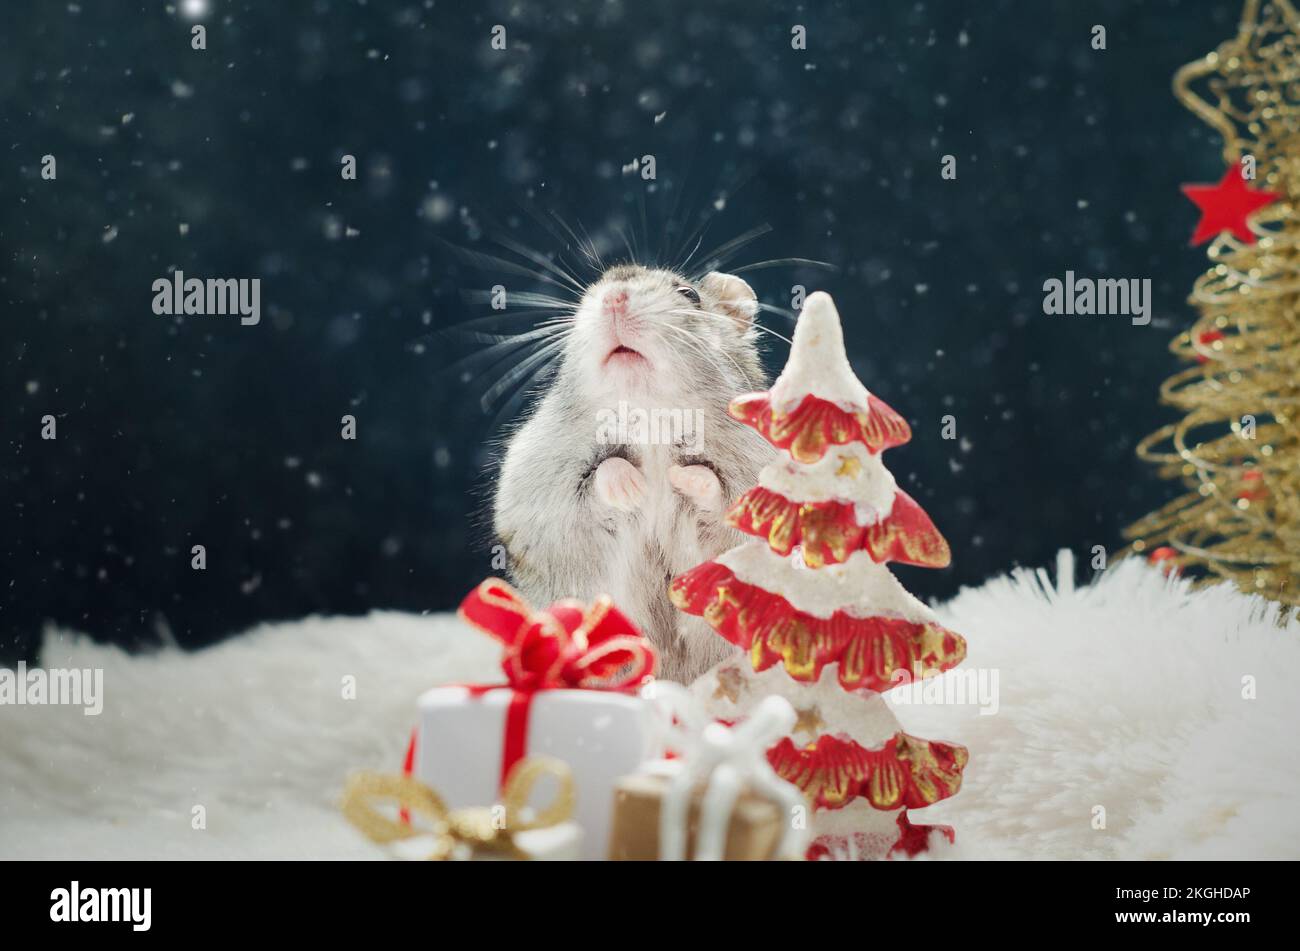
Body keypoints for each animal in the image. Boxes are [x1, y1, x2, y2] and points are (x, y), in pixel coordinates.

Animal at [493, 264, 777, 683]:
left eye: (689, 294)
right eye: (590, 293)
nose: (614, 298)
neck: (647, 412)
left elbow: (715, 488)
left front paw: (676, 477)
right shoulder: (541, 488)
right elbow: (603, 472)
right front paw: (636, 486)